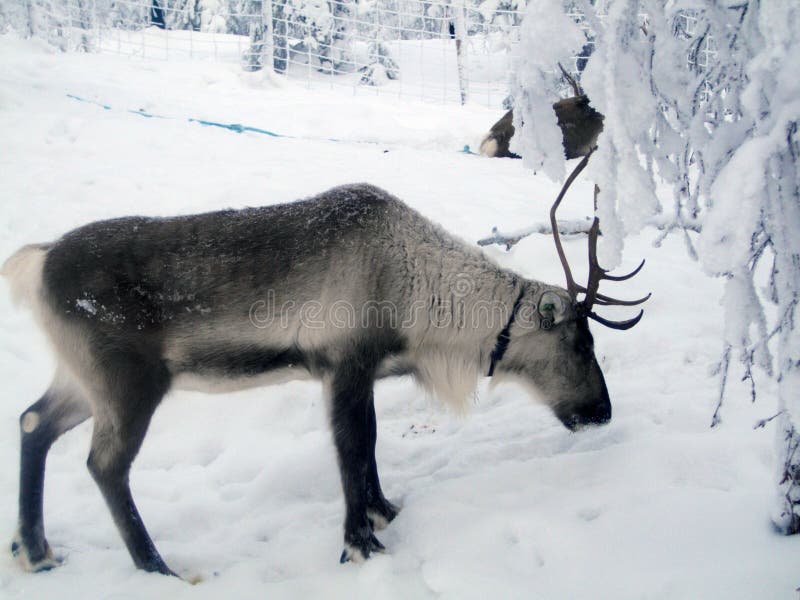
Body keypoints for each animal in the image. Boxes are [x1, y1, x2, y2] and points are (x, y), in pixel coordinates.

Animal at [2, 158, 647, 576]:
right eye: (581, 344)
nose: (602, 412)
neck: (420, 293)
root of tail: (36, 263)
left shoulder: (364, 370)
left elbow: (371, 445)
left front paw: (384, 512)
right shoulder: (345, 362)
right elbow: (352, 446)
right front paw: (359, 543)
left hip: (82, 379)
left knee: (33, 422)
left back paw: (36, 550)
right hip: (129, 381)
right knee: (104, 464)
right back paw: (155, 566)